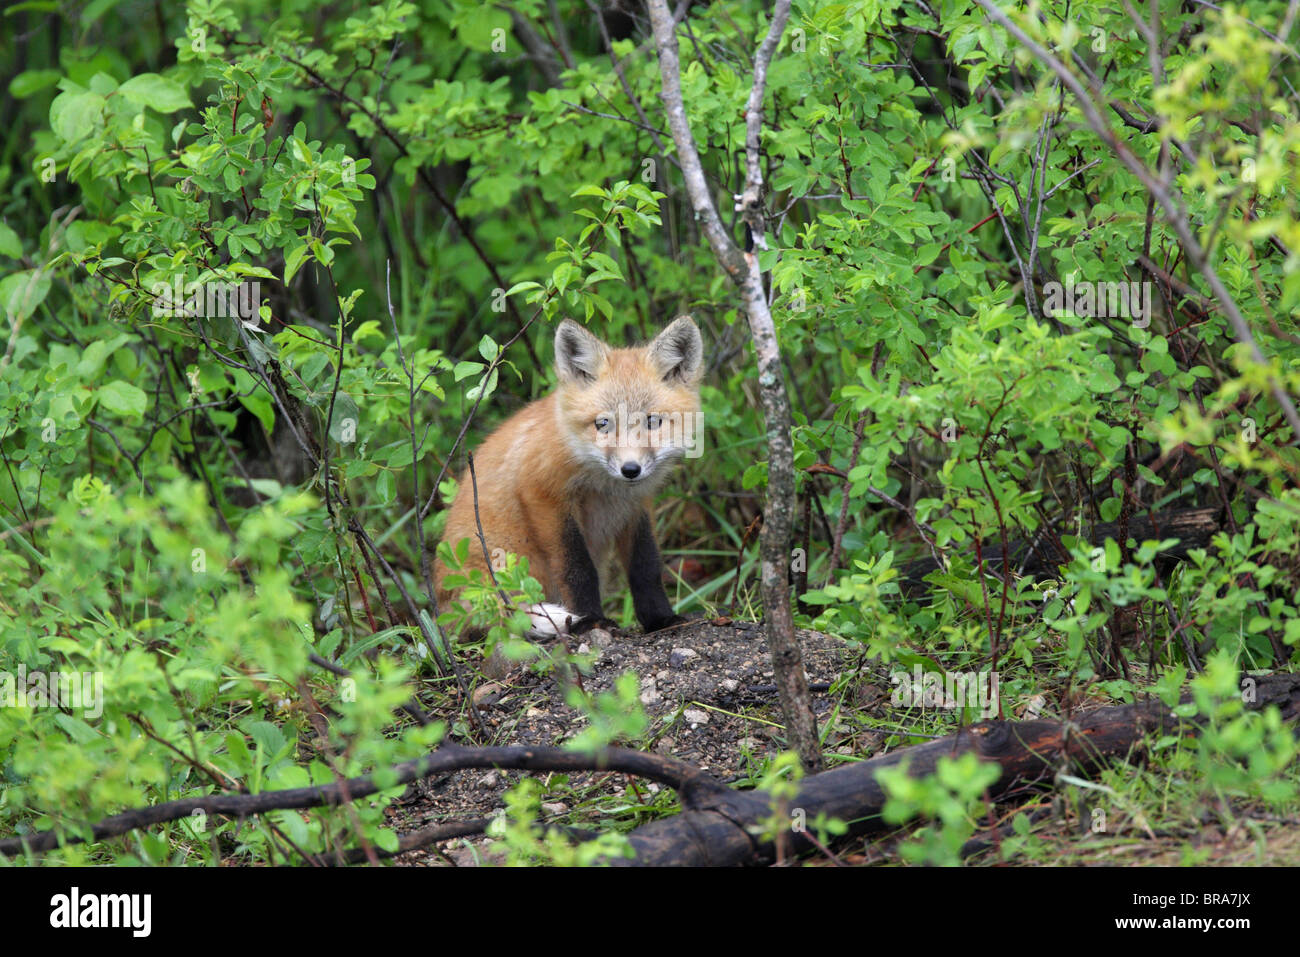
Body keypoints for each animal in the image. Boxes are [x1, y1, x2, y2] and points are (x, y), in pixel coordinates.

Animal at [434, 315, 704, 638]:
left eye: (652, 422)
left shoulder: (638, 504)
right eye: (602, 424)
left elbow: (646, 567)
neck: (607, 486)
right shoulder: (543, 493)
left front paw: (660, 619)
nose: (630, 469)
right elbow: (576, 566)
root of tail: (440, 608)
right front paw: (591, 620)